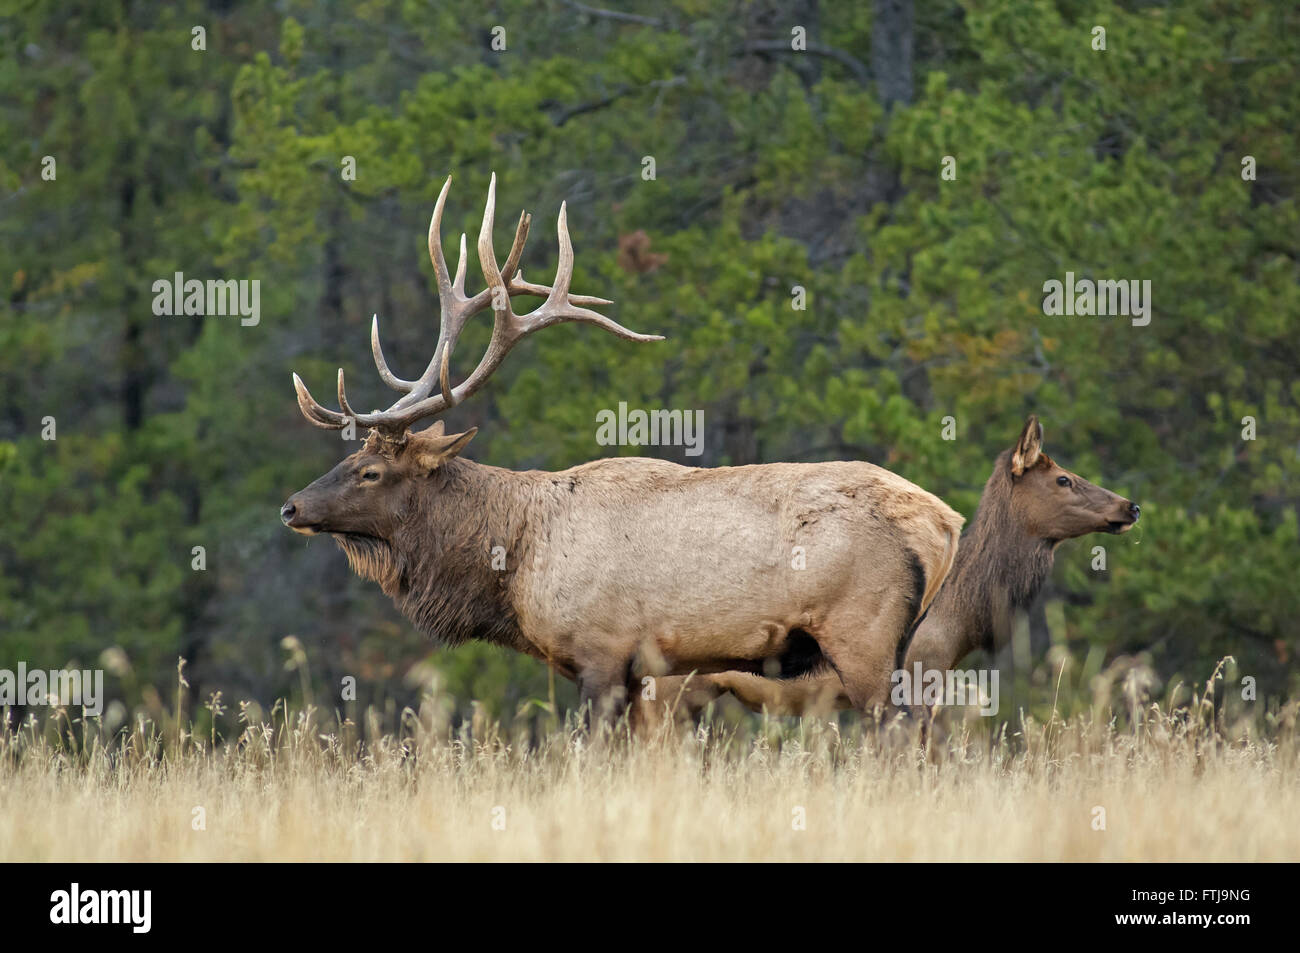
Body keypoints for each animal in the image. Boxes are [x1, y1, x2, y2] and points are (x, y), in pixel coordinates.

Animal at [280, 173, 964, 725]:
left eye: (370, 471)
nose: (290, 507)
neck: (517, 561)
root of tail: (946, 523)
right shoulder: (642, 675)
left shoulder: (602, 652)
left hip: (862, 634)